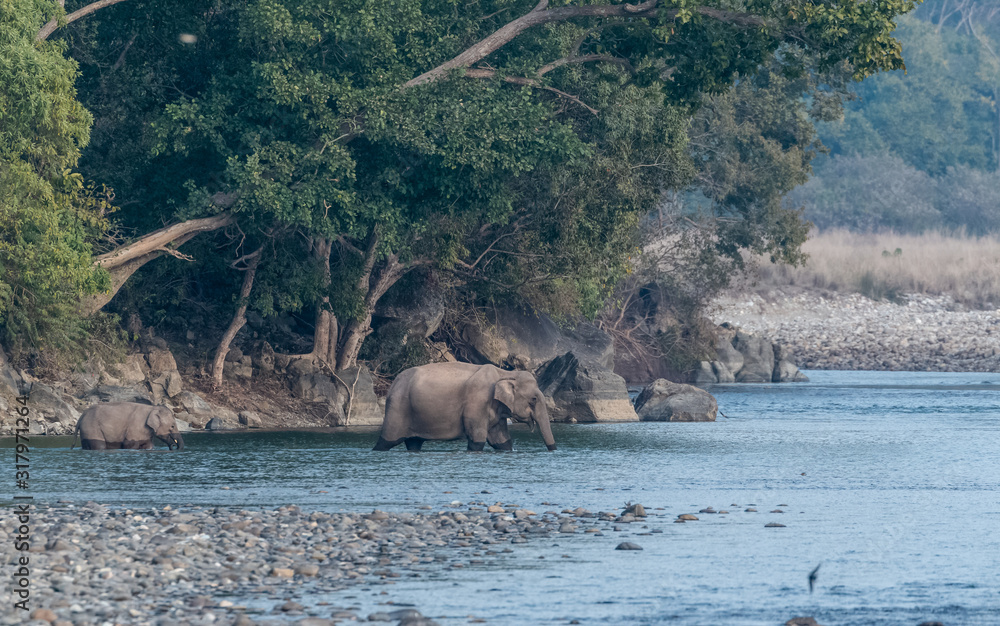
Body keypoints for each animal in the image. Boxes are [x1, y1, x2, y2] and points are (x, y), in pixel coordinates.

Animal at [373, 362, 556, 452]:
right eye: (533, 399)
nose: (553, 450)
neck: (505, 373)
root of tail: (392, 384)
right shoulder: (478, 402)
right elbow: (477, 439)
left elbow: (501, 441)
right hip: (398, 408)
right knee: (386, 442)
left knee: (414, 443)